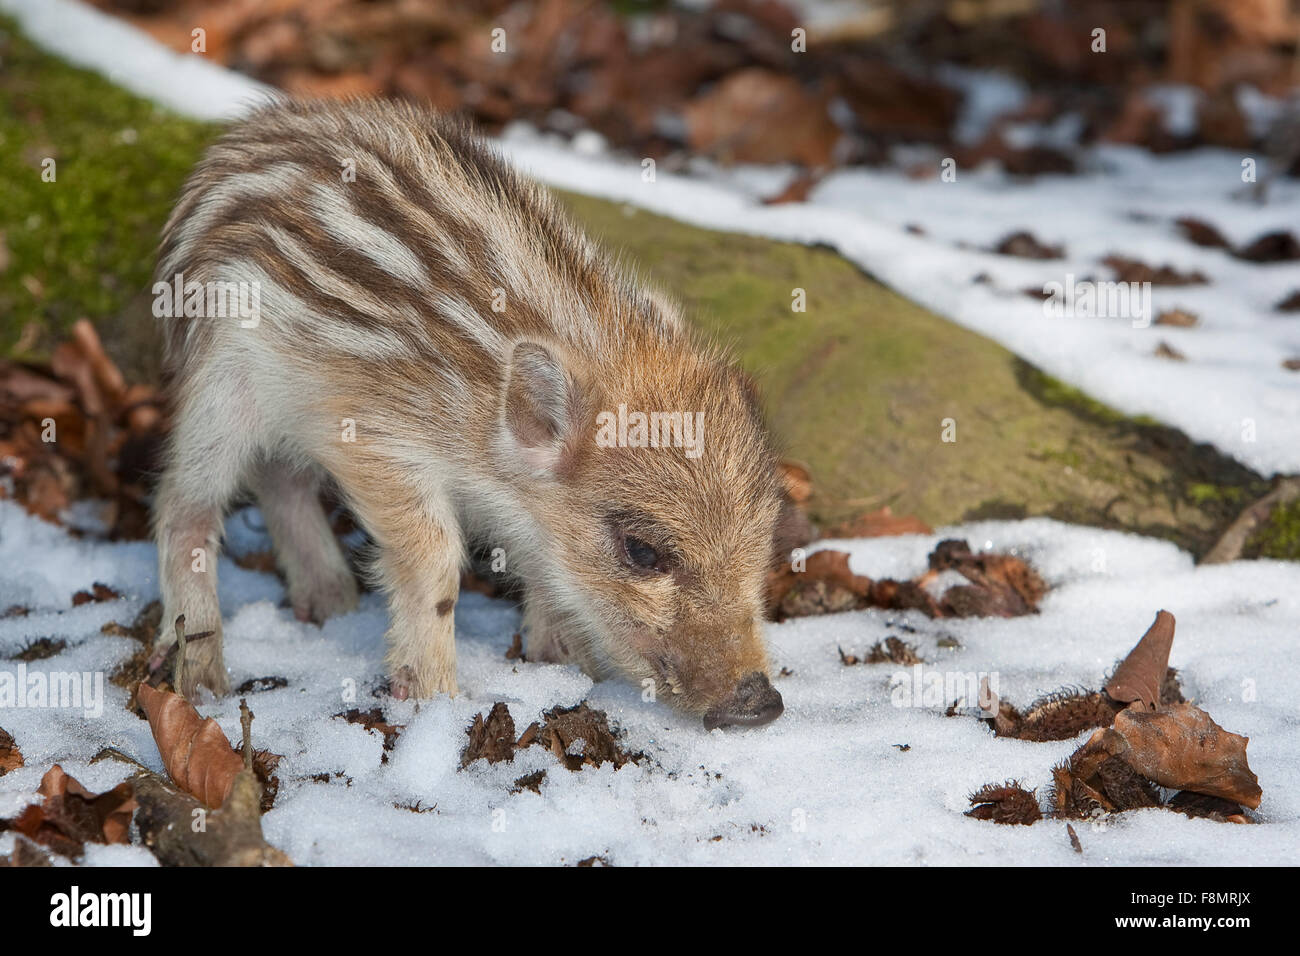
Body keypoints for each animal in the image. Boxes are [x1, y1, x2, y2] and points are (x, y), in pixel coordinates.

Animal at [151, 98, 785, 729]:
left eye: (763, 542)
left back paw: (333, 603)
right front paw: (434, 699)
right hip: (221, 387)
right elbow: (434, 558)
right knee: (186, 507)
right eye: (642, 551)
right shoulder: (372, 434)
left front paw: (560, 663)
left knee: (279, 480)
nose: (761, 705)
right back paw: (203, 679)